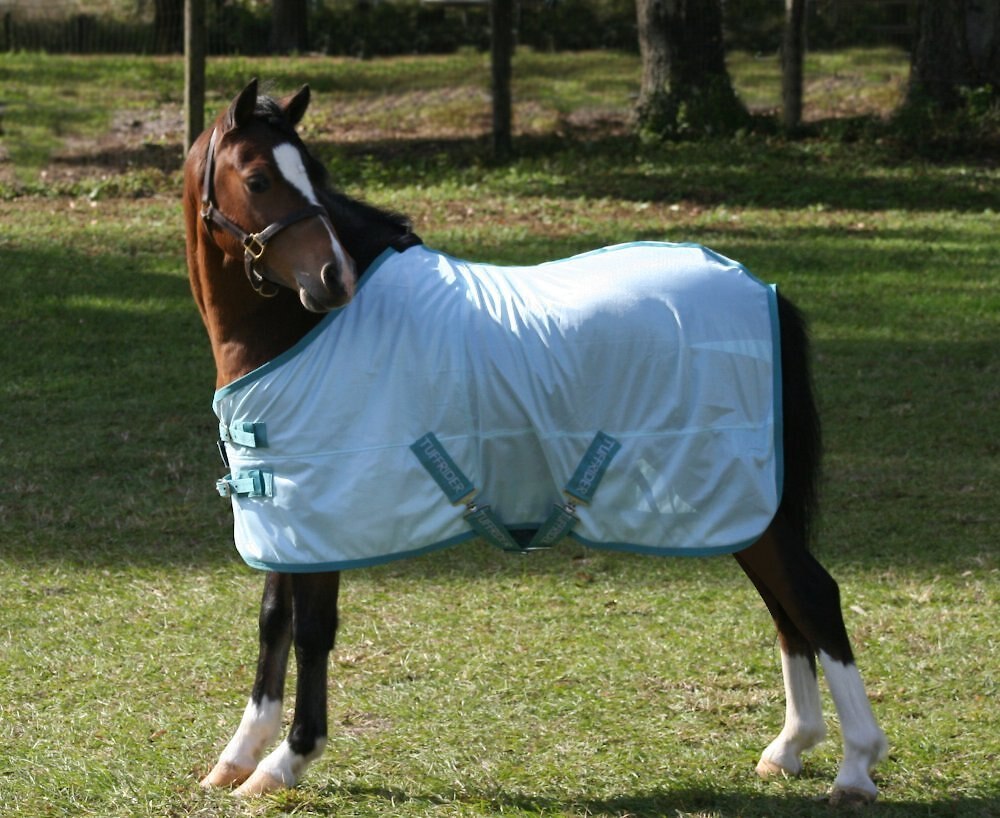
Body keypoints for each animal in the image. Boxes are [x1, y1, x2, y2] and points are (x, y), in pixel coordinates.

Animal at [182, 79, 888, 804]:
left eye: (314, 175)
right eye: (259, 179)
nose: (332, 279)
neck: (297, 334)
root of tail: (761, 289)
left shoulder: (321, 518)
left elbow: (312, 632)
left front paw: (286, 761)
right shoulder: (284, 513)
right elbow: (274, 620)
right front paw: (238, 756)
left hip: (744, 501)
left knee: (813, 597)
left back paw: (855, 767)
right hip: (742, 508)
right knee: (786, 608)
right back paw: (791, 747)